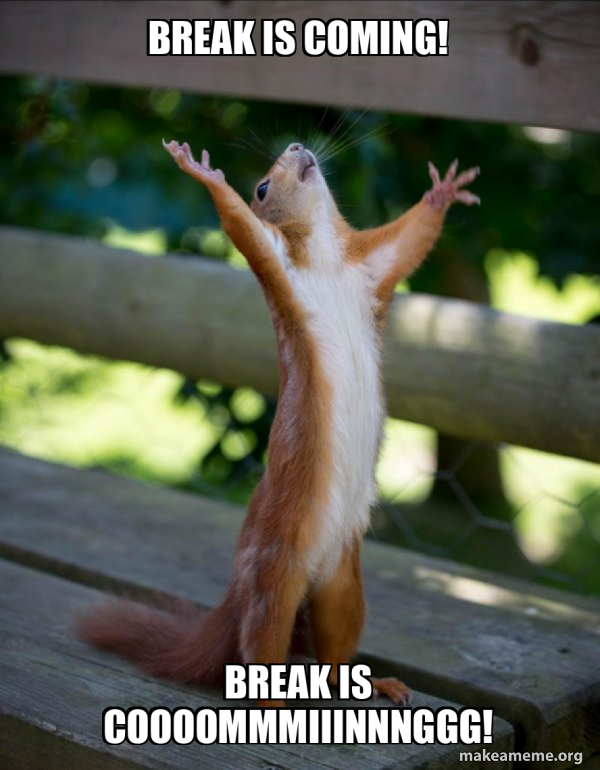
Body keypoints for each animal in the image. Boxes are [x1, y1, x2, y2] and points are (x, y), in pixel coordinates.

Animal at [78, 139, 479, 708]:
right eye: (262, 187)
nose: (296, 146)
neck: (327, 259)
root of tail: (238, 591)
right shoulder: (277, 265)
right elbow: (240, 226)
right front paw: (204, 173)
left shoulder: (372, 267)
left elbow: (410, 240)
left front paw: (442, 192)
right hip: (274, 579)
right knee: (260, 648)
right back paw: (274, 702)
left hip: (344, 587)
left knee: (334, 656)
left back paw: (372, 683)